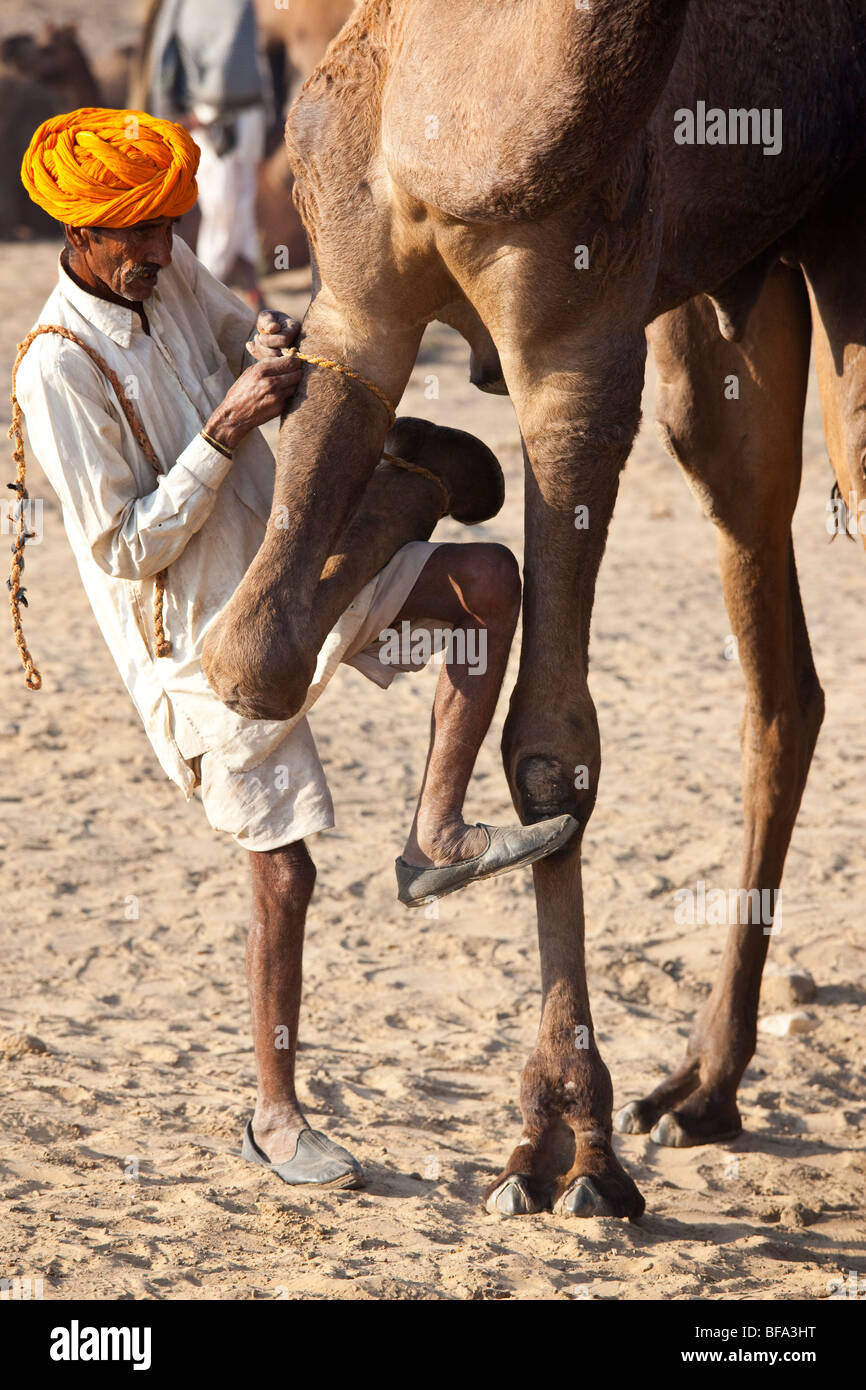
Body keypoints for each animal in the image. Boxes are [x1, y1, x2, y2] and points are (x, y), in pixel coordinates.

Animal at [202, 0, 866, 1219]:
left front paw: (567, 1146)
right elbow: (255, 653)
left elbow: (554, 746)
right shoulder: (359, 293)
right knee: (777, 661)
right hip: (729, 307)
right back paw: (700, 1089)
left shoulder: (576, 344)